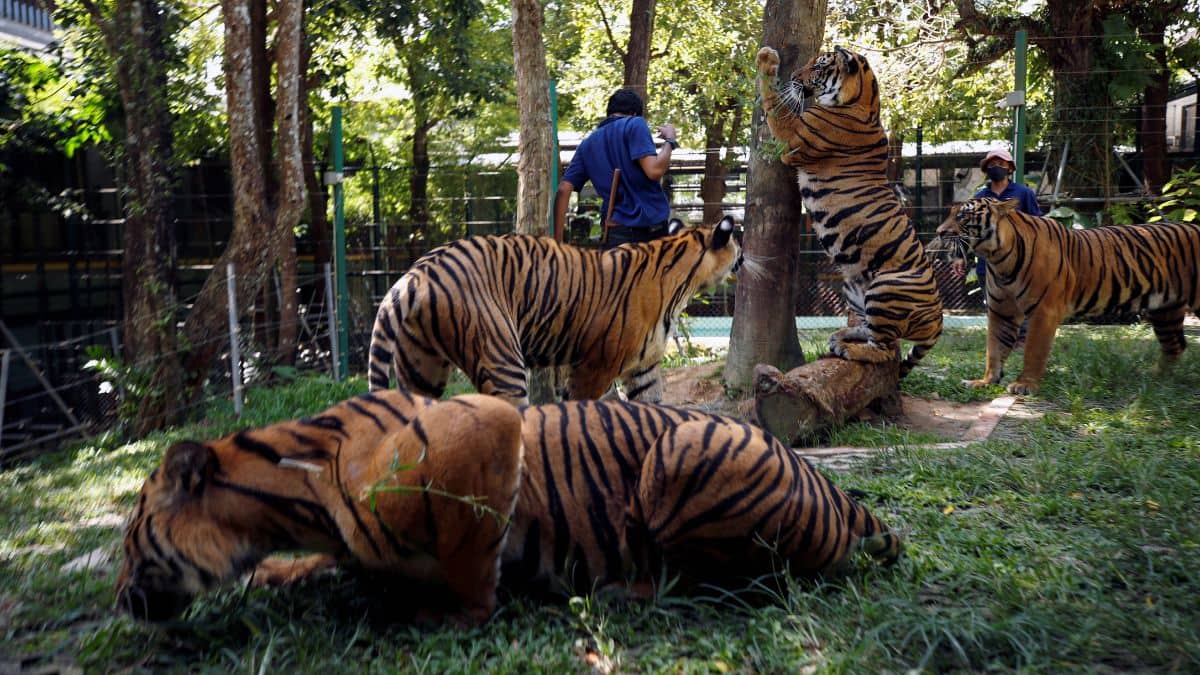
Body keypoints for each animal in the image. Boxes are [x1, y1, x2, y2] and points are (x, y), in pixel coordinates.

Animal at [115, 390, 902, 623]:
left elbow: (470, 556)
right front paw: (285, 573)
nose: (121, 599)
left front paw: (456, 611)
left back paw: (619, 590)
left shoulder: (488, 424)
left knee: (725, 578)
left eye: (129, 542)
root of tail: (839, 492)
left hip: (679, 454)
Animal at [367, 216, 742, 405]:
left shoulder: (643, 368)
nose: (743, 256)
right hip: (501, 360)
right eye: (737, 242)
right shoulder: (596, 366)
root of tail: (418, 273)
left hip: (421, 369)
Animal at [755, 45, 943, 376]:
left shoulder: (792, 136)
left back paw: (846, 347)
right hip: (854, 289)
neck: (867, 101)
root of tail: (938, 322)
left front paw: (767, 59)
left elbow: (774, 101)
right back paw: (841, 334)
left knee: (884, 349)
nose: (794, 75)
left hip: (885, 288)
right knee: (876, 334)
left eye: (818, 66)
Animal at [931, 197, 1200, 395]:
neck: (998, 258)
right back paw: (1156, 379)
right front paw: (985, 381)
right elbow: (994, 349)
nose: (940, 231)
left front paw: (1025, 384)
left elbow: (1034, 350)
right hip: (1165, 310)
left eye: (962, 215)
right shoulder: (1001, 311)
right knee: (1175, 345)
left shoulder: (1044, 311)